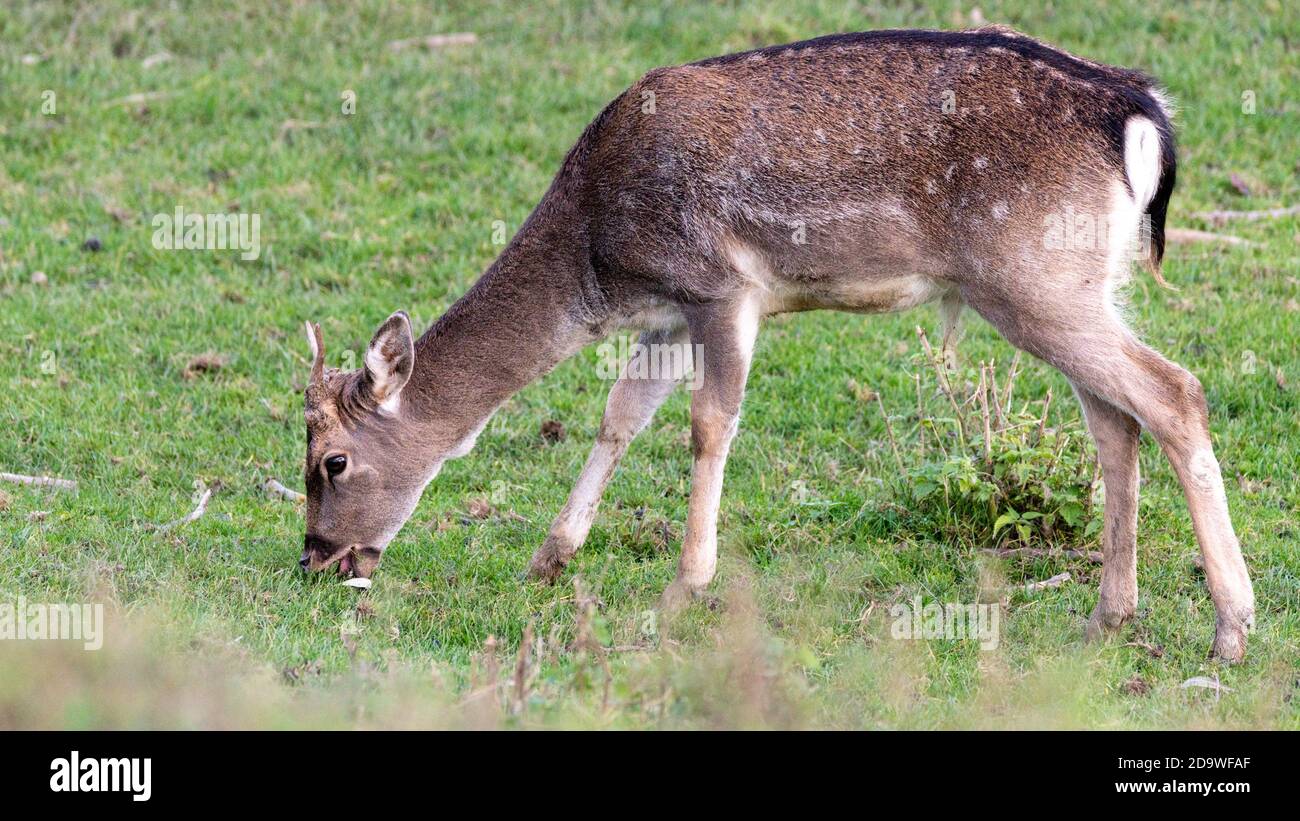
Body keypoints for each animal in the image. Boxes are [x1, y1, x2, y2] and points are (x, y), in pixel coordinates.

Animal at [297, 27, 1255, 661]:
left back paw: (1231, 628)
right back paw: (1108, 617)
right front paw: (550, 557)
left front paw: (685, 586)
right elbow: (619, 416)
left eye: (331, 461)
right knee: (1115, 419)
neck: (598, 257)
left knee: (1175, 392)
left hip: (1033, 281)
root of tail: (1143, 116)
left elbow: (708, 424)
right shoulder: (667, 312)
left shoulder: (723, 286)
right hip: (1077, 284)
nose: (315, 558)